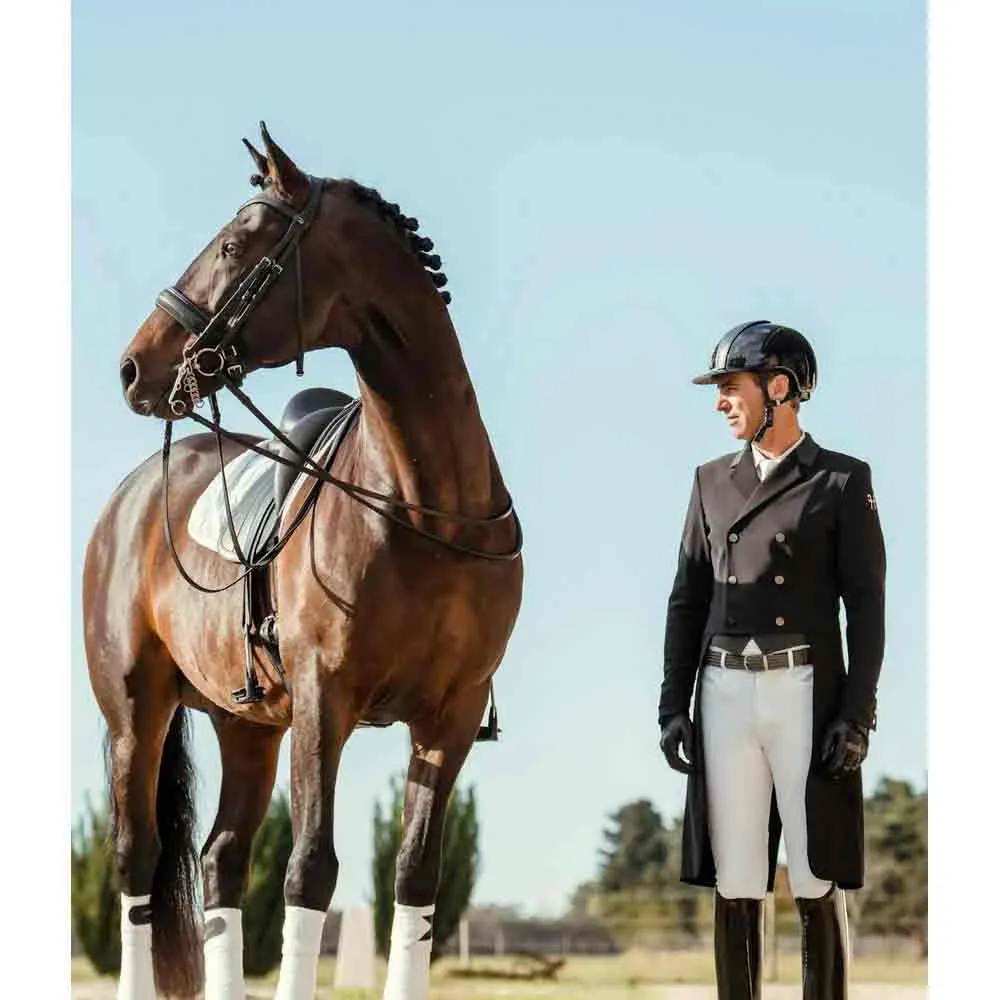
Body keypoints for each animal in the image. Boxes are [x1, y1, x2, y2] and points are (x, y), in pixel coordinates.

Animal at [83, 122, 524, 1000]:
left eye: (232, 245)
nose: (133, 368)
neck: (426, 503)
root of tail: (131, 495)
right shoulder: (327, 699)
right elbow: (310, 870)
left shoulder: (451, 715)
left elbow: (415, 875)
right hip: (134, 715)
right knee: (139, 861)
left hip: (246, 726)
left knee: (220, 859)